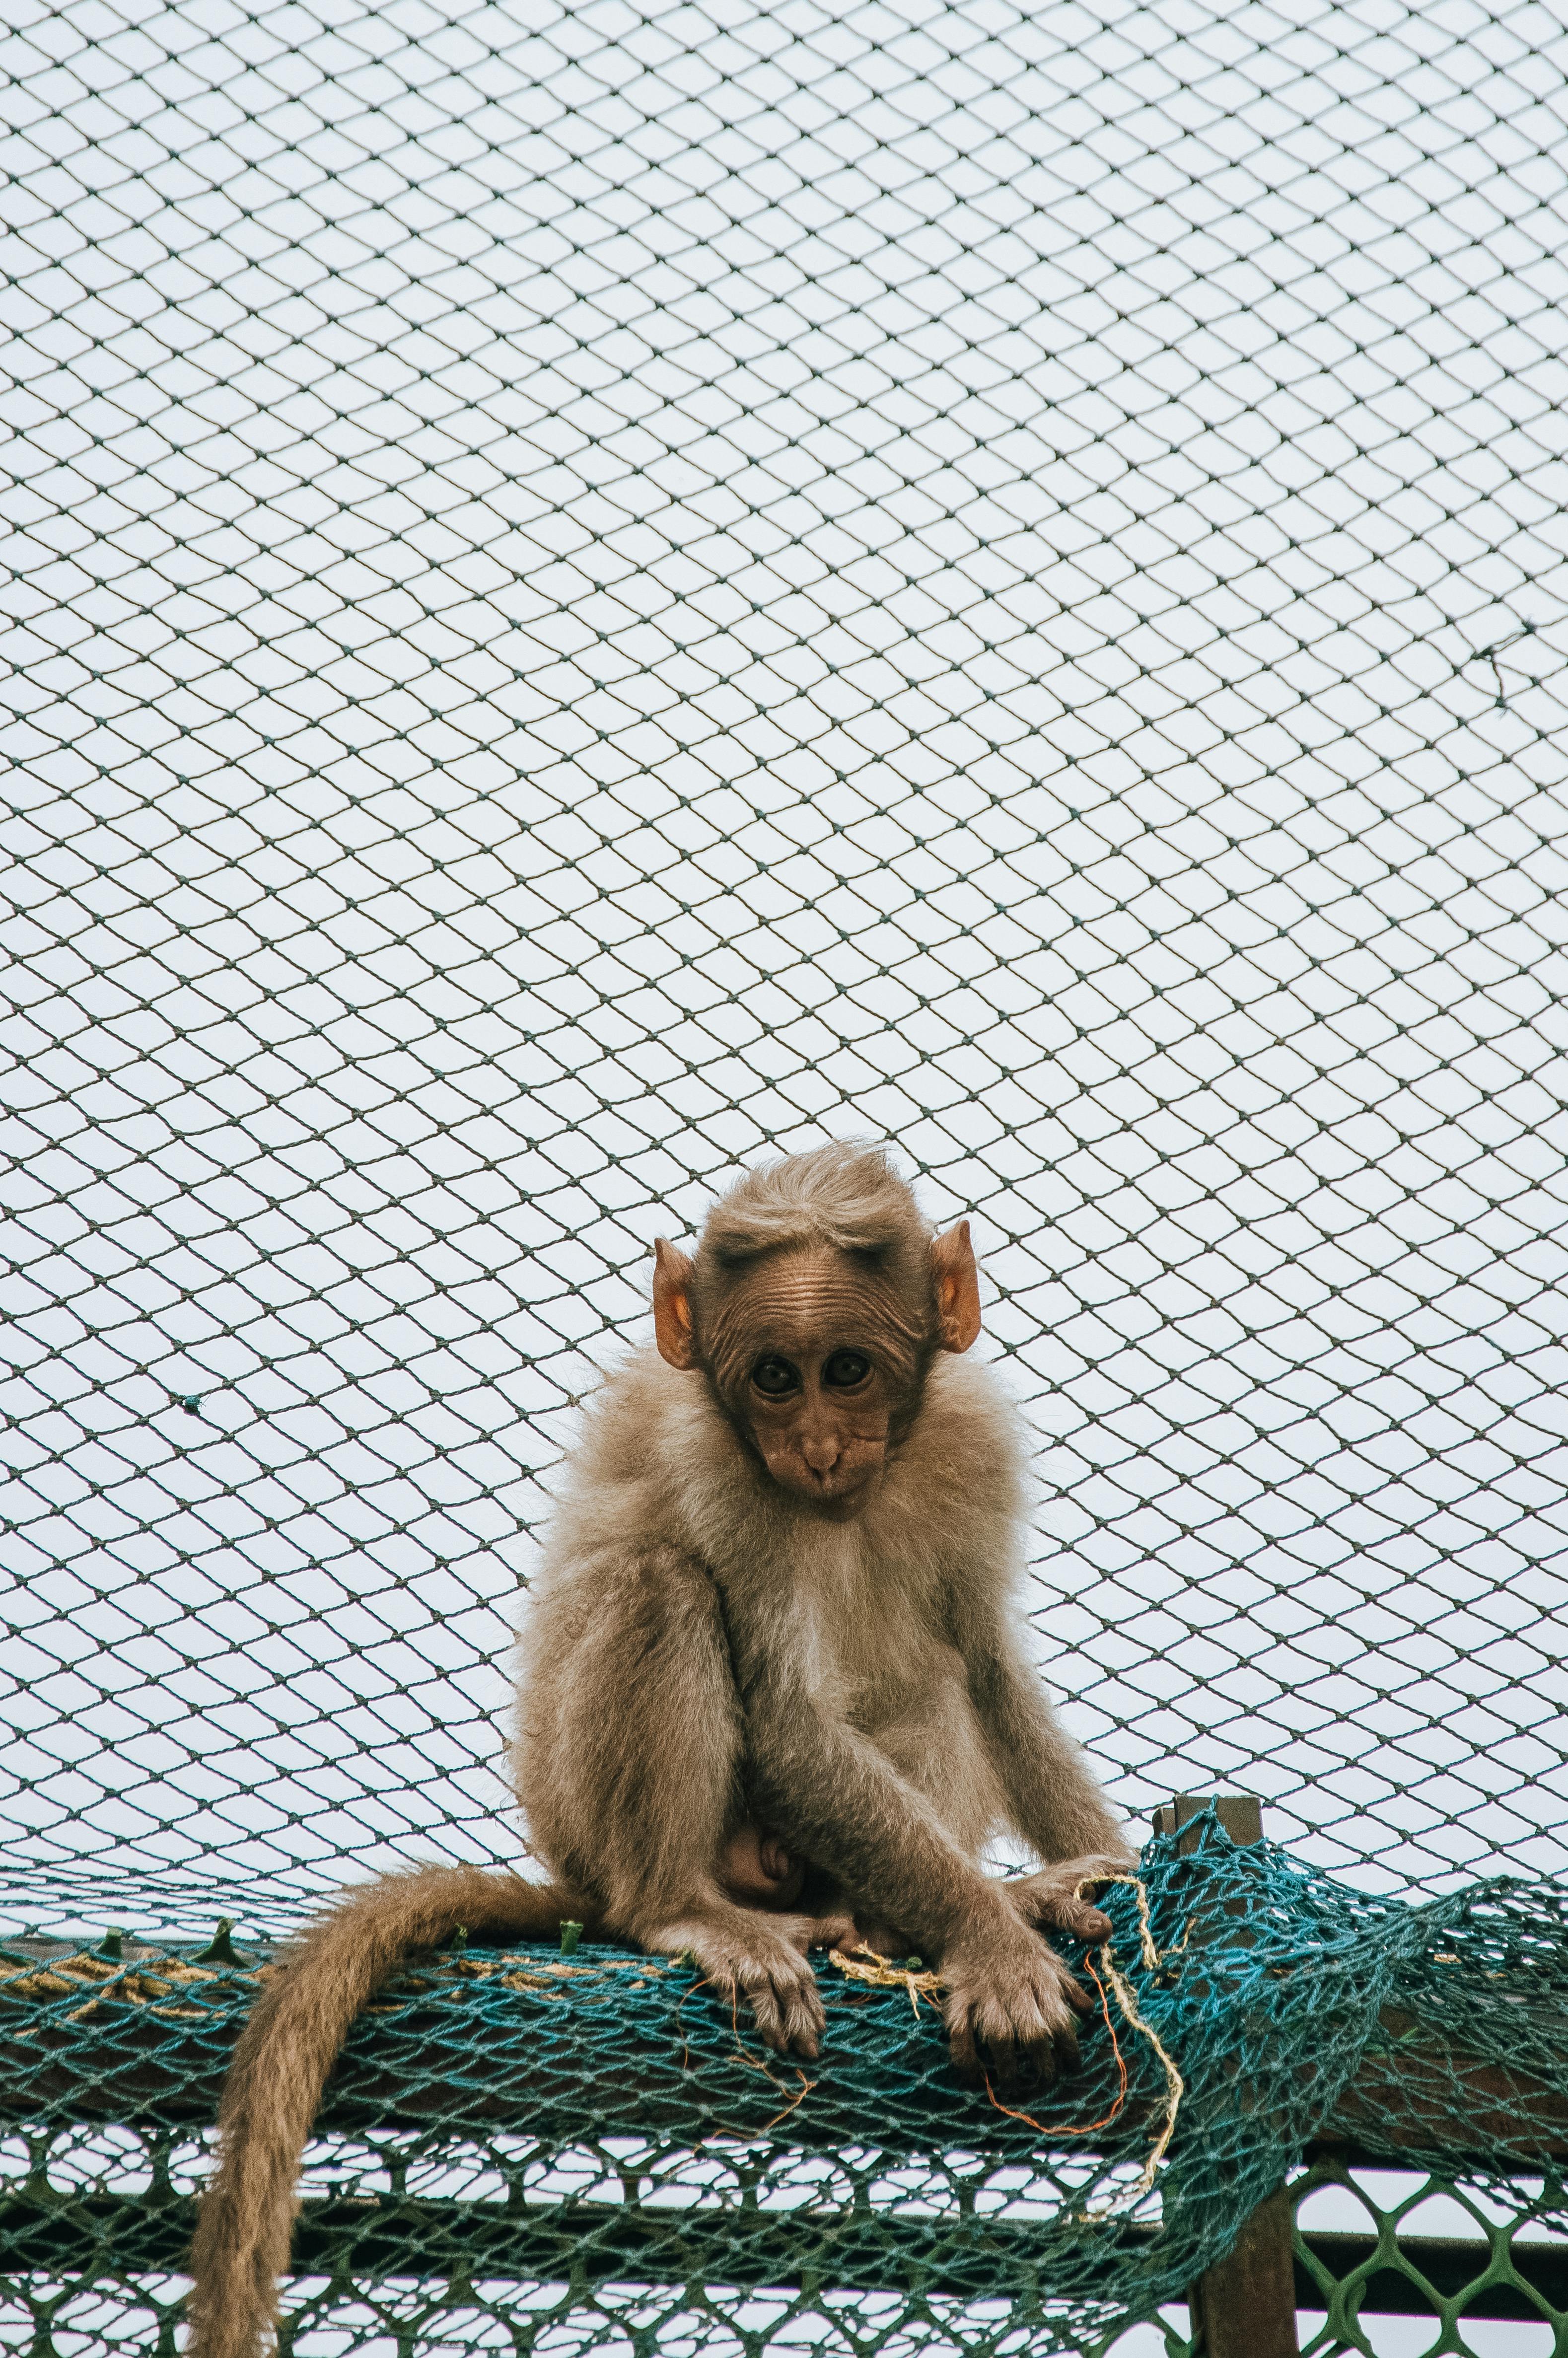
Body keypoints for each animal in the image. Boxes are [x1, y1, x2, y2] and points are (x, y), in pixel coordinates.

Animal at [187, 1142, 1131, 2358]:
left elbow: (987, 1664)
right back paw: (686, 1907)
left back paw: (879, 1920)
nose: (815, 1444)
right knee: (660, 1582)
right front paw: (994, 1941)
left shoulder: (972, 1440)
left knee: (932, 1673)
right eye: (773, 1377)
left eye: (848, 1369)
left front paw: (1083, 1876)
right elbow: (787, 1722)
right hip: (594, 1816)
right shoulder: (722, 1464)